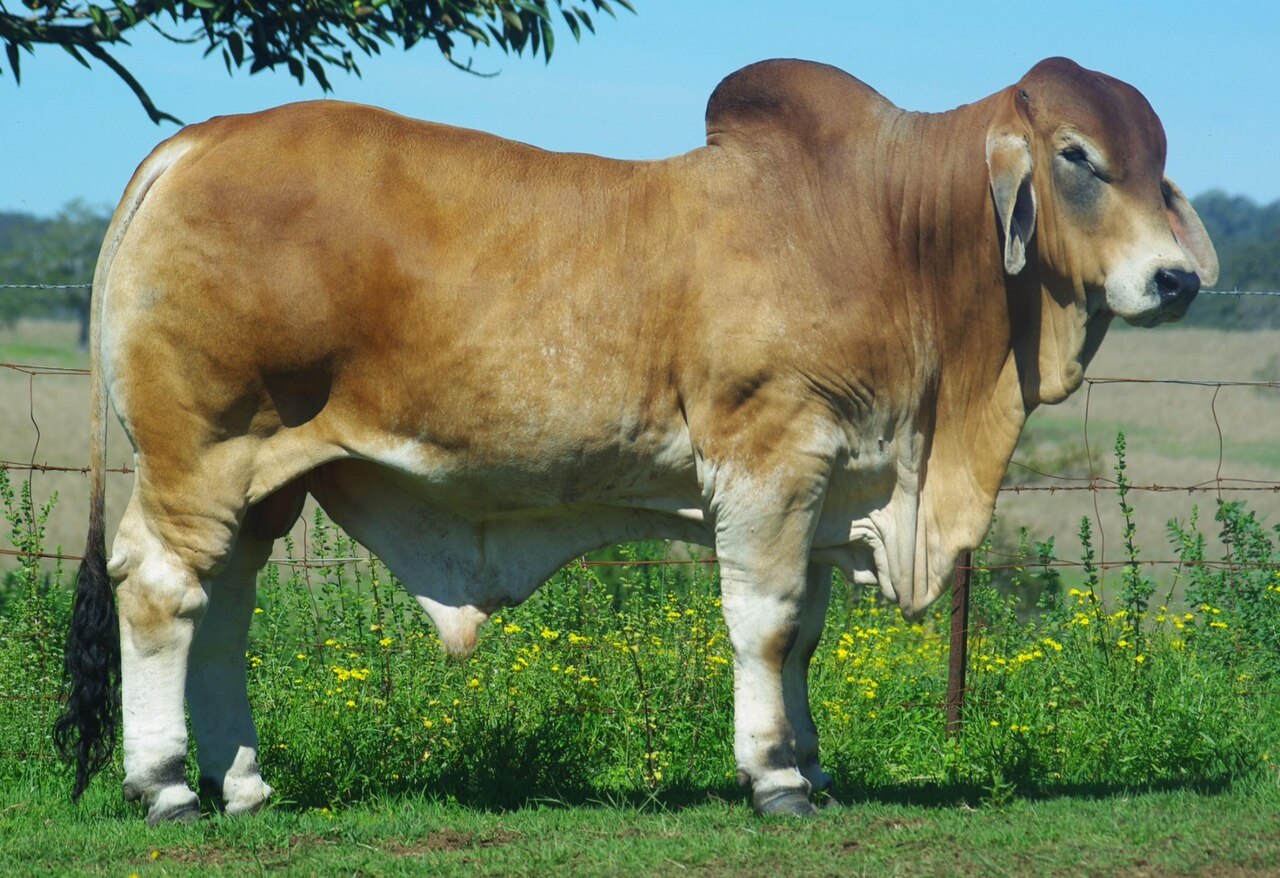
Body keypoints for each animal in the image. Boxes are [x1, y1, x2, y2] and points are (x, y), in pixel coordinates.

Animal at [55, 57, 1217, 822]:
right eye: (1077, 156)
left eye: (1155, 160)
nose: (1174, 279)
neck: (887, 230)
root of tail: (191, 142)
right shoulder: (767, 456)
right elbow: (765, 623)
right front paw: (774, 776)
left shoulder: (826, 479)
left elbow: (805, 633)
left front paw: (812, 763)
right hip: (199, 452)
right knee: (161, 591)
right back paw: (166, 785)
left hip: (263, 481)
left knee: (225, 609)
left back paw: (244, 781)